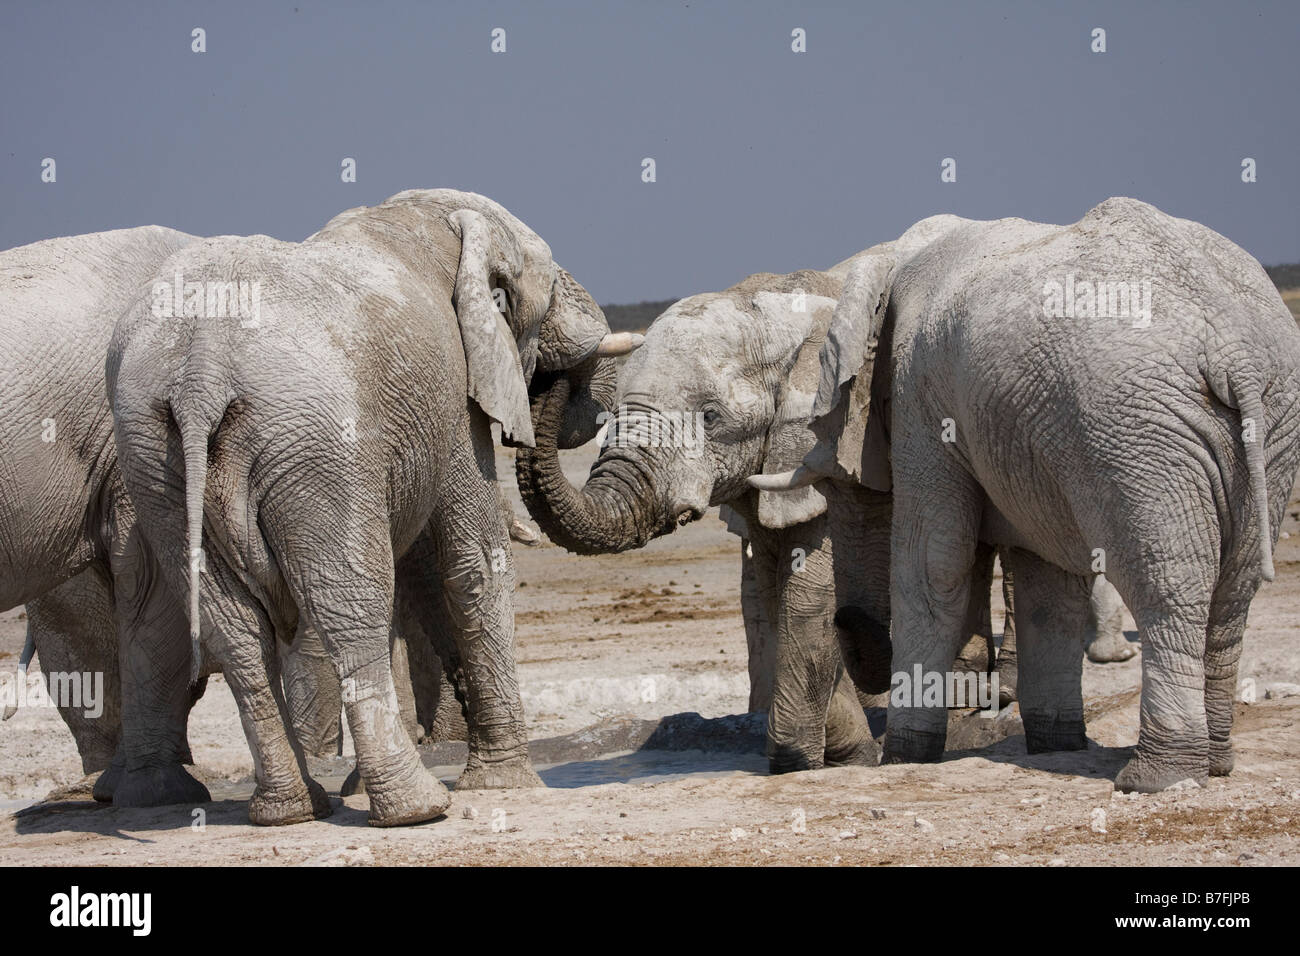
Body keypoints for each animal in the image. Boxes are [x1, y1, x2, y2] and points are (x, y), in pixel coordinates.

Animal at [107, 189, 628, 826]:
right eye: (549, 291)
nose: (553, 386)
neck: (432, 216)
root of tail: (200, 370)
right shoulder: (454, 395)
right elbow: (475, 561)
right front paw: (503, 785)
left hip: (153, 458)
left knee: (234, 625)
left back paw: (292, 810)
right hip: (316, 444)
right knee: (349, 601)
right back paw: (416, 808)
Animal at [764, 197, 1300, 792]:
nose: (844, 621)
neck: (893, 255)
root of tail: (1234, 348)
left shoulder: (922, 399)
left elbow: (933, 565)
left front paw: (903, 757)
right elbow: (1048, 587)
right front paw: (1058, 745)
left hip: (1132, 428)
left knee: (1166, 582)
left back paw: (1155, 777)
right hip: (1267, 420)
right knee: (1234, 591)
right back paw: (1215, 764)